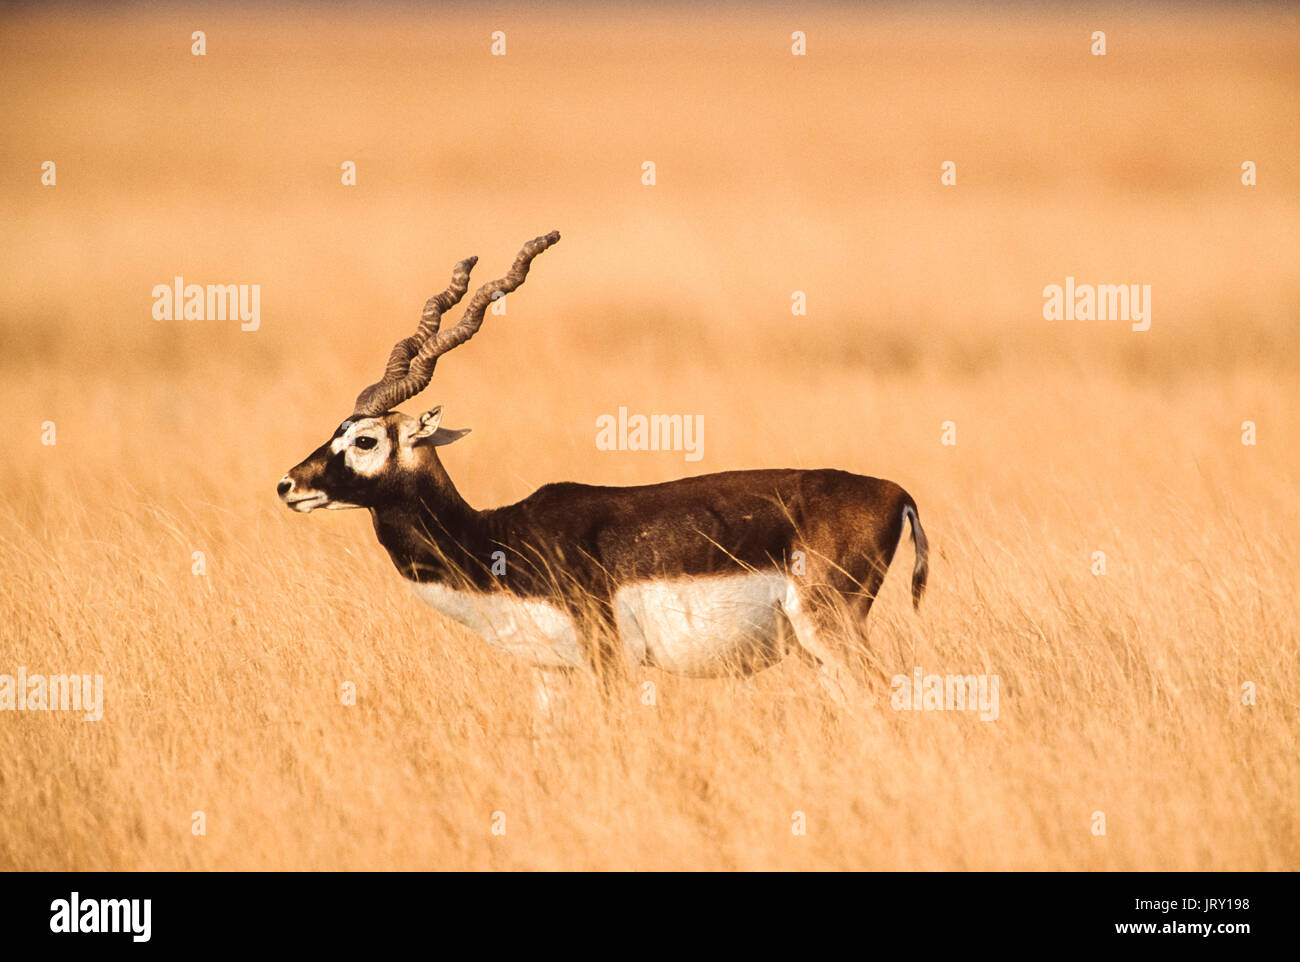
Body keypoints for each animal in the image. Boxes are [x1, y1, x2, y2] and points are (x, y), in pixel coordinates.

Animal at [278, 231, 929, 713]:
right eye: (336, 429)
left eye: (364, 439)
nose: (289, 485)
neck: (495, 542)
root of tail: (897, 493)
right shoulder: (549, 673)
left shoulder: (609, 657)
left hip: (831, 631)